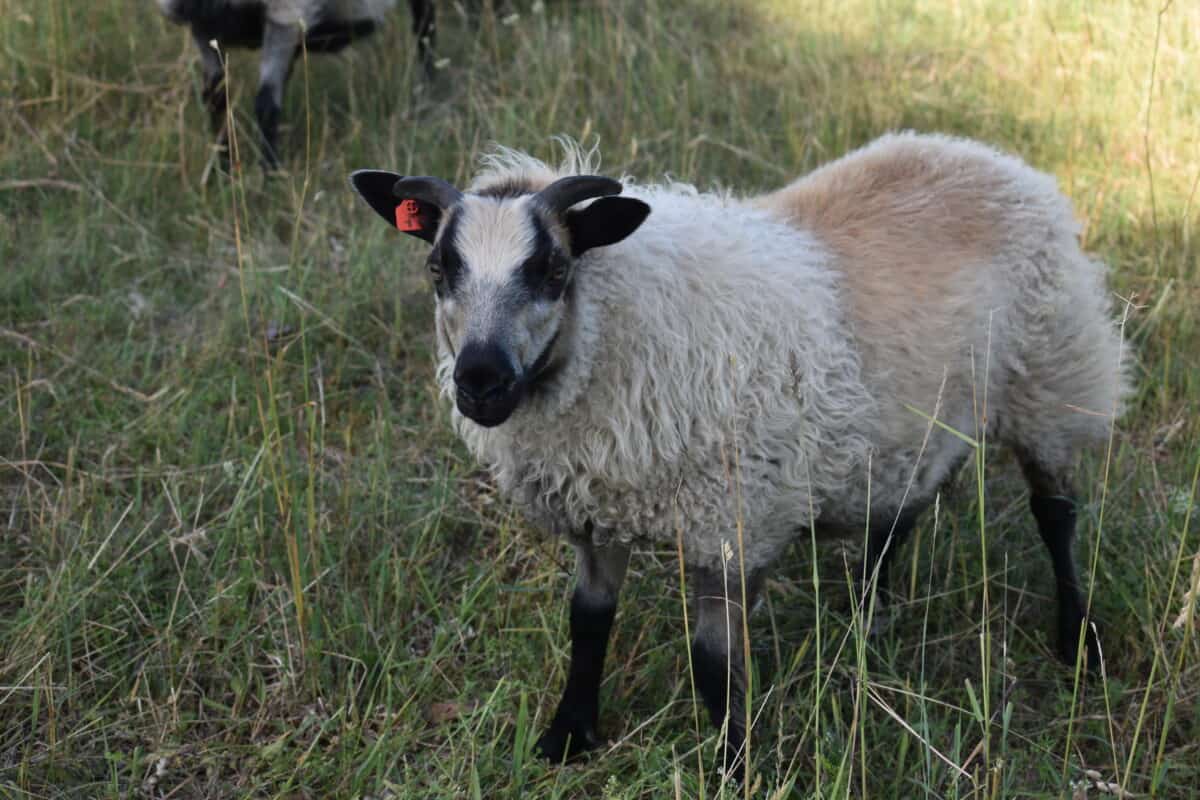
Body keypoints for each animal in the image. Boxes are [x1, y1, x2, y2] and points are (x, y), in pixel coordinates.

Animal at [158, 0, 434, 168]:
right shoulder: (202, 28)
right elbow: (216, 99)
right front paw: (222, 171)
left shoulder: (284, 17)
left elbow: (266, 105)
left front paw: (269, 178)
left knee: (425, 24)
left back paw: (427, 92)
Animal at [348, 132, 1131, 780]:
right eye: (438, 267)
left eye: (552, 269)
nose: (479, 382)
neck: (614, 333)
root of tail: (989, 155)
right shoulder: (598, 510)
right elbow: (588, 622)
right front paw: (568, 736)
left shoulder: (728, 519)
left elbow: (715, 662)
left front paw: (734, 764)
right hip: (914, 421)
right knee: (900, 510)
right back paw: (866, 619)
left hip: (1051, 381)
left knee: (1056, 513)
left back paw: (1077, 640)